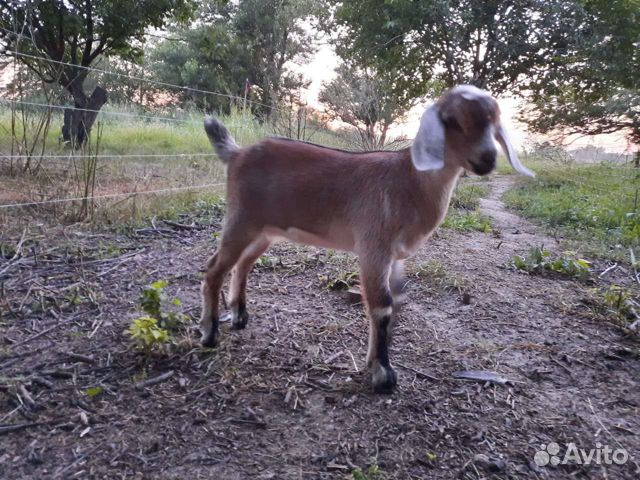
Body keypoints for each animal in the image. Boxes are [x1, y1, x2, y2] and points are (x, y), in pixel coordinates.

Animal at [200, 85, 533, 393]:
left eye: (494, 121)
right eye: (451, 120)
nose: (487, 159)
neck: (409, 181)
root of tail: (237, 153)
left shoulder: (393, 255)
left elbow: (397, 299)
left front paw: (374, 363)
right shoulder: (374, 245)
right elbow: (382, 304)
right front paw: (383, 375)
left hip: (264, 230)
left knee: (242, 264)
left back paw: (239, 316)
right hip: (241, 219)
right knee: (214, 268)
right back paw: (209, 334)